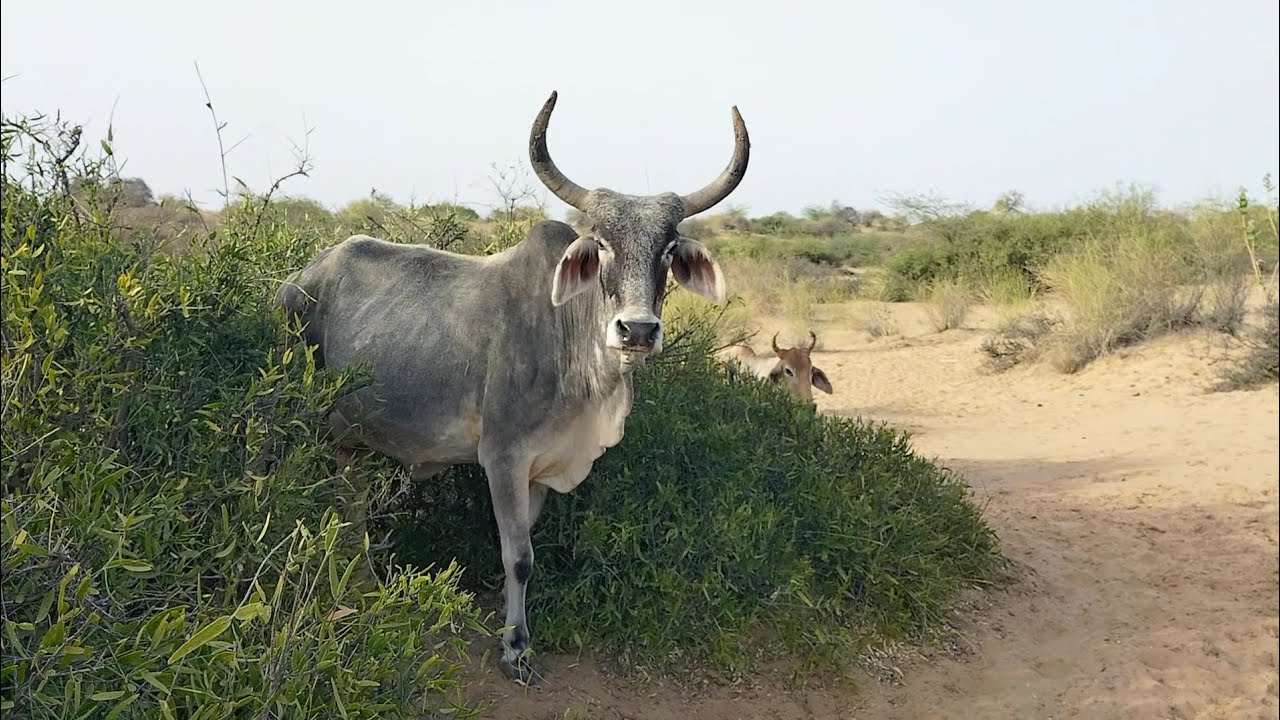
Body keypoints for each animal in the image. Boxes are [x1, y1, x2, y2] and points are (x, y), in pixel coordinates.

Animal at [274, 91, 750, 683]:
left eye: (668, 249)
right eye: (601, 245)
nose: (637, 331)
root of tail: (298, 279)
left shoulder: (542, 471)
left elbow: (524, 552)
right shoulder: (501, 458)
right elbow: (518, 556)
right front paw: (515, 647)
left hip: (351, 440)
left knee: (352, 500)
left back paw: (360, 579)